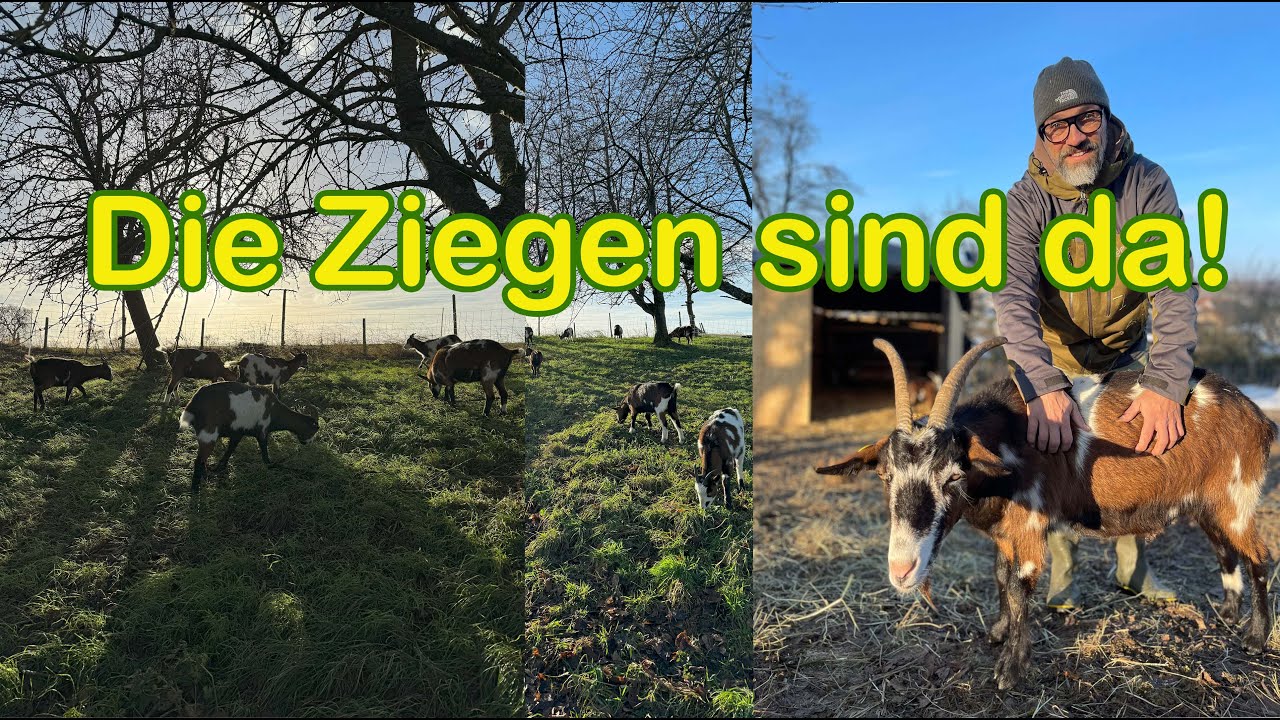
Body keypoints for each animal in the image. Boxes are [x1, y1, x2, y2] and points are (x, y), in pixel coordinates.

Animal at [180, 381, 319, 491]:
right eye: (314, 430)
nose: (309, 442)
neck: (274, 410)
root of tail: (193, 404)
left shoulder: (238, 433)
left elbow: (230, 450)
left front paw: (219, 468)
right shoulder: (262, 432)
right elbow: (267, 461)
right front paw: (304, 472)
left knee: (202, 461)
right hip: (209, 434)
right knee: (198, 461)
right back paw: (195, 491)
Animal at [814, 337, 1275, 690]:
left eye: (952, 475)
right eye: (885, 476)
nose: (902, 570)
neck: (1006, 443)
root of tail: (1259, 418)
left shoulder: (1030, 526)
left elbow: (1020, 588)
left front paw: (1010, 670)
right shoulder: (1005, 531)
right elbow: (1001, 577)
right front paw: (998, 633)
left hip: (1236, 498)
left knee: (1260, 557)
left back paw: (1254, 637)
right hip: (1208, 505)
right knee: (1225, 552)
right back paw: (1227, 616)